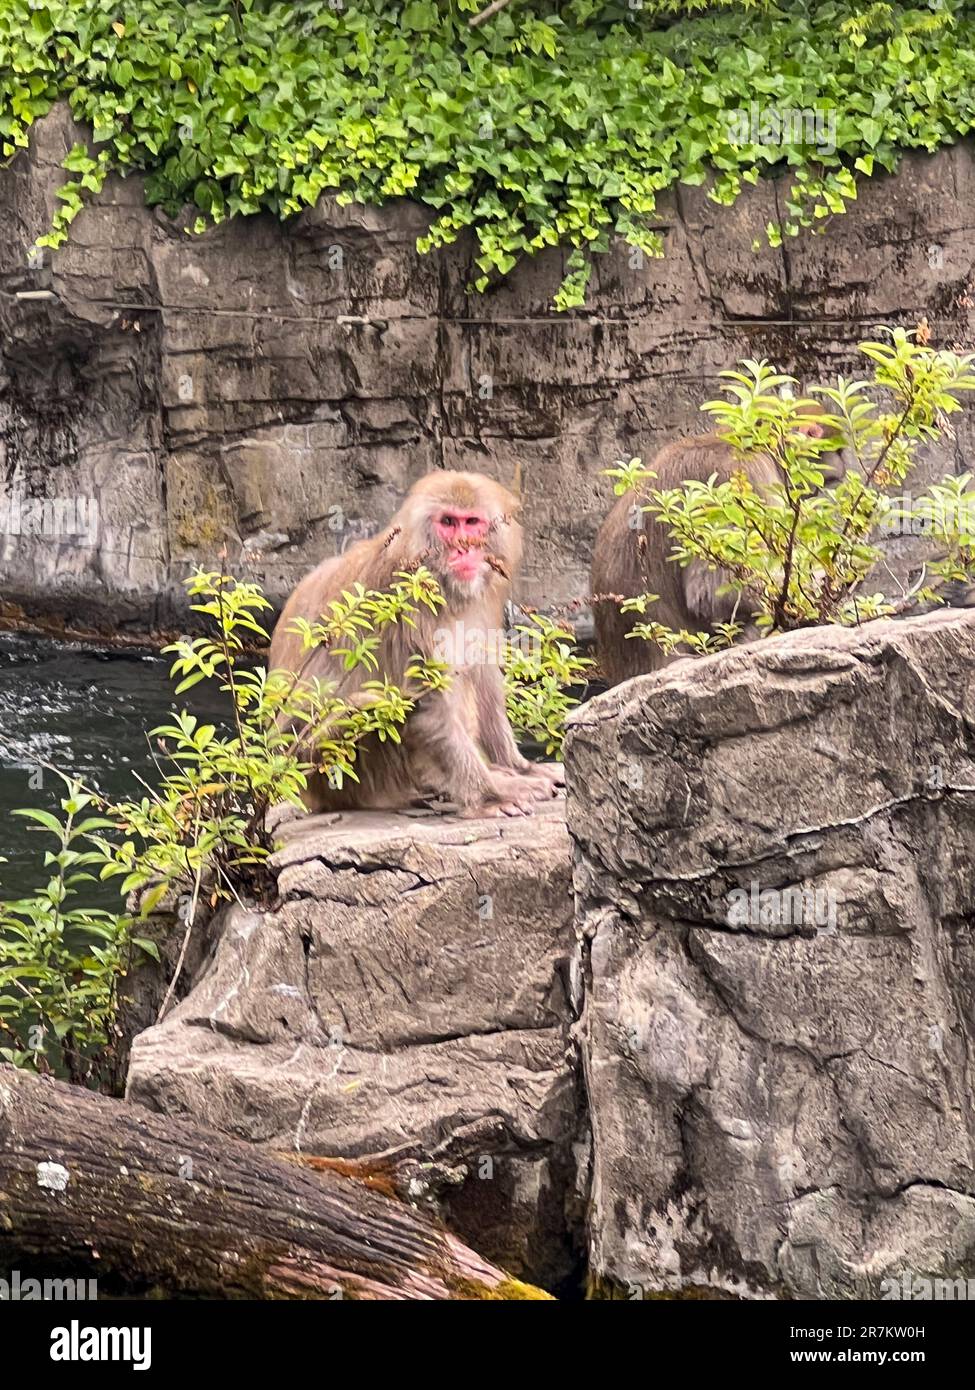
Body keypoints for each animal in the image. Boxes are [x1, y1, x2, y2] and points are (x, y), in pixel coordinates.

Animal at [268, 471, 563, 818]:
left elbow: (483, 672)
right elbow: (427, 706)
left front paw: (519, 766)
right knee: (370, 703)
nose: (463, 549)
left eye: (471, 522)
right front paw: (492, 796)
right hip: (325, 771)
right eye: (448, 522)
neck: (442, 582)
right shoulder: (405, 602)